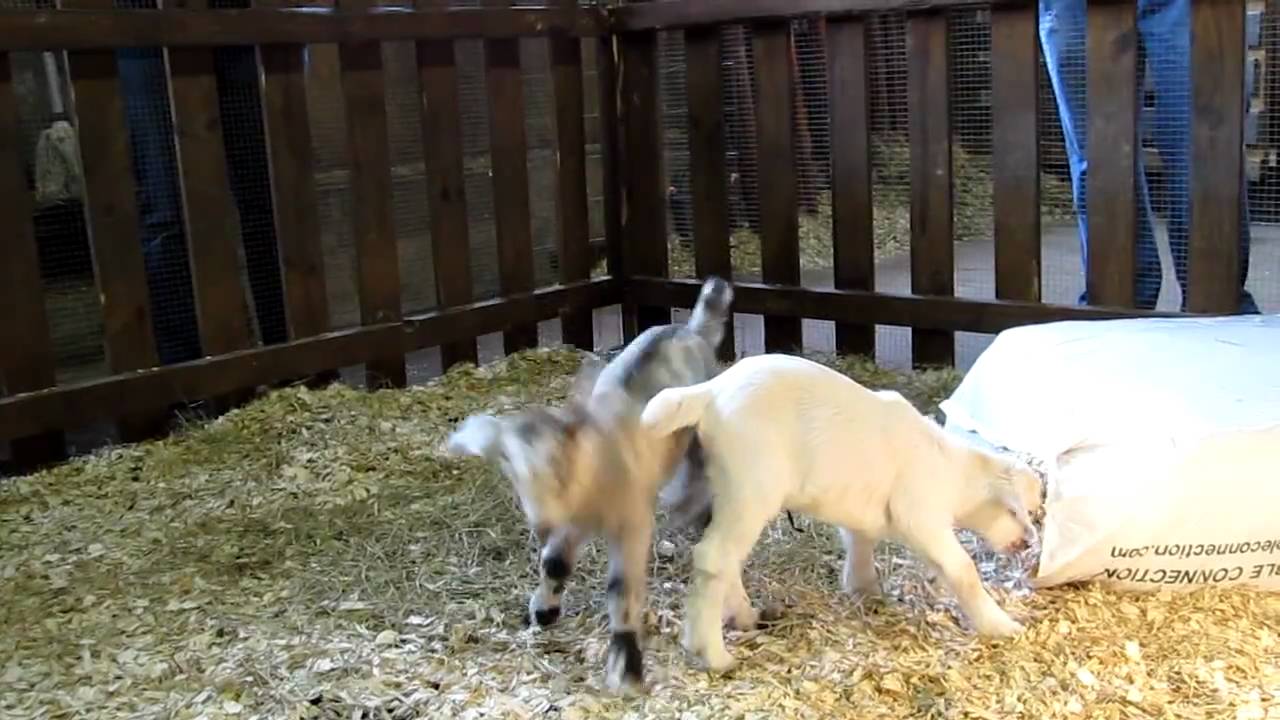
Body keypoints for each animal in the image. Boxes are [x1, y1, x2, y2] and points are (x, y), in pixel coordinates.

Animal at [446, 276, 733, 691]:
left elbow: (621, 587)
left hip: (698, 428)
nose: (539, 521)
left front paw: (626, 662)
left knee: (698, 472)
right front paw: (544, 611)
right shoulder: (569, 525)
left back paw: (693, 509)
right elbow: (554, 563)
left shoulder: (631, 521)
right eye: (512, 470)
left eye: (558, 461)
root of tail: (690, 329)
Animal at [639, 352, 1044, 672]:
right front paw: (1001, 625)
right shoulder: (920, 514)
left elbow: (860, 542)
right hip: (752, 488)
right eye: (1019, 512)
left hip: (723, 490)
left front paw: (865, 590)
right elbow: (962, 569)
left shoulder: (865, 511)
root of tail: (709, 393)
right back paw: (712, 653)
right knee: (713, 557)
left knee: (726, 560)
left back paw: (742, 616)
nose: (1026, 545)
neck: (952, 471)